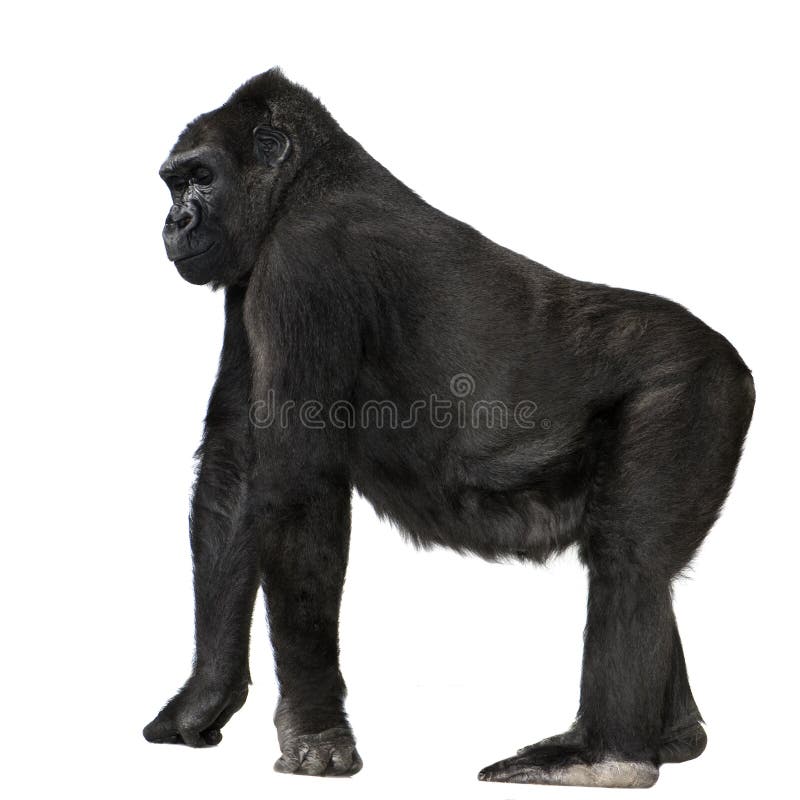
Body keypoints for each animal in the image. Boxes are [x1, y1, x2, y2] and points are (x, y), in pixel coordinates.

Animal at [143, 68, 754, 788]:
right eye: (175, 184)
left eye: (200, 179)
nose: (175, 221)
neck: (303, 182)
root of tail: (735, 360)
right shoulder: (250, 280)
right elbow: (235, 465)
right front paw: (204, 695)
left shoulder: (303, 264)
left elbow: (297, 486)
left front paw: (316, 728)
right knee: (637, 562)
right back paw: (672, 736)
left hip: (698, 388)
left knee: (630, 561)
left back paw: (609, 756)